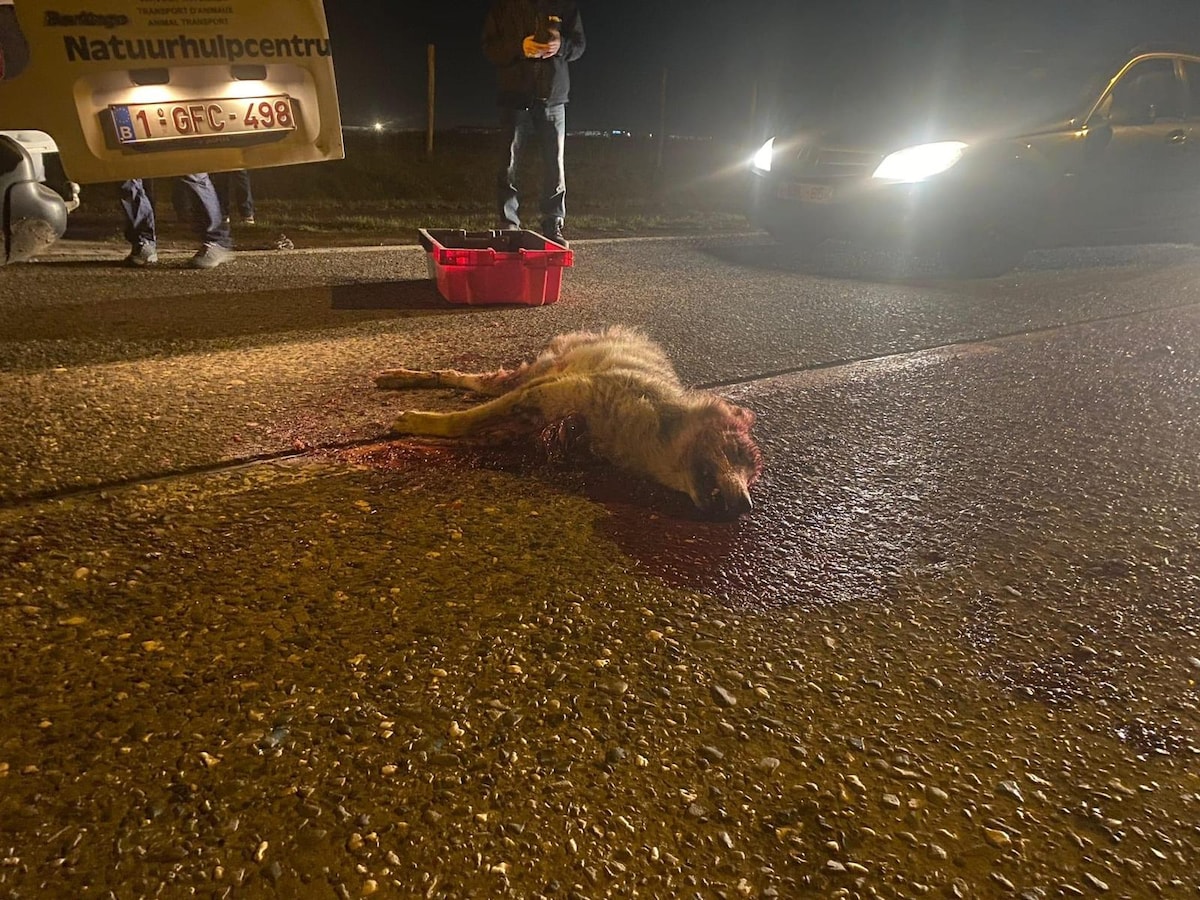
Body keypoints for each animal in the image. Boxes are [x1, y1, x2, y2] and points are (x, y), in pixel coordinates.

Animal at [375, 327, 763, 517]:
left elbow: (488, 427)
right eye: (738, 454)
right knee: (463, 377)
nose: (746, 507)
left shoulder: (544, 409)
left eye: (752, 478)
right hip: (533, 375)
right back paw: (405, 377)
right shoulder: (551, 392)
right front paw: (420, 422)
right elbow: (462, 421)